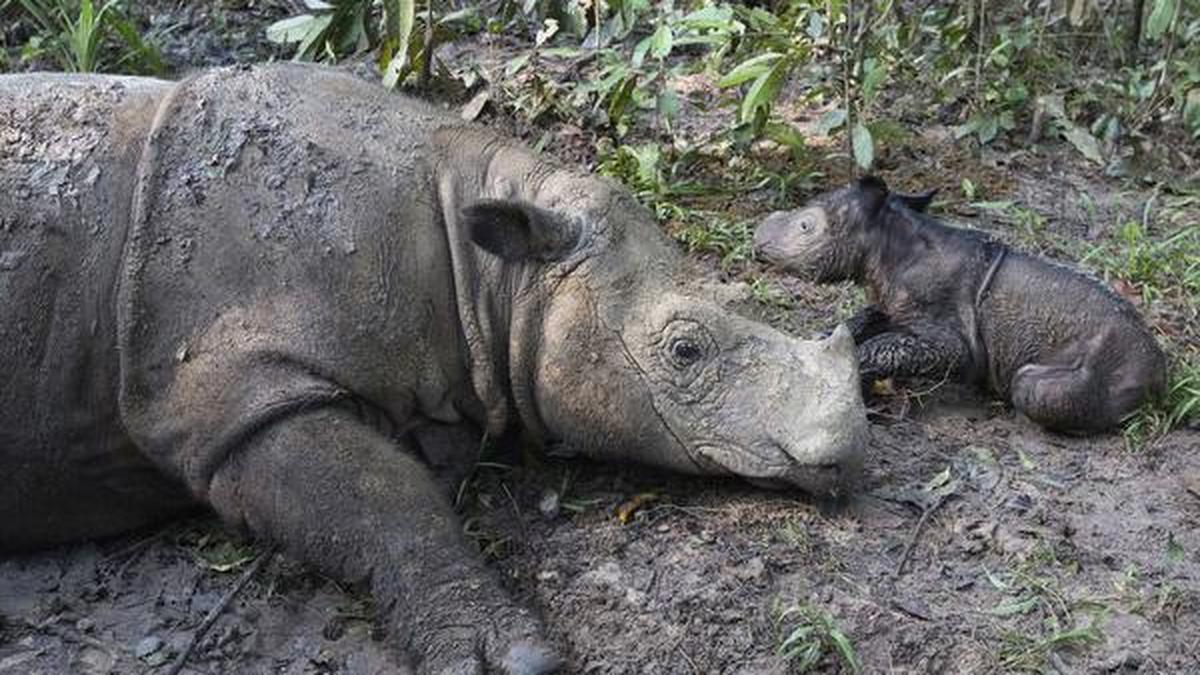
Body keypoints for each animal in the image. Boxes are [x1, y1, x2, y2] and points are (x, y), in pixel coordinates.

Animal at [0, 64, 868, 674]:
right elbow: (384, 499)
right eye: (685, 351)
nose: (847, 444)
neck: (487, 269)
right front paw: (512, 654)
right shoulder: (232, 399)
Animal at [753, 176, 1167, 433]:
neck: (885, 242)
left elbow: (885, 346)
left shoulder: (954, 343)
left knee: (1029, 386)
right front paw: (822, 342)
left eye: (805, 227)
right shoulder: (894, 304)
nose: (757, 240)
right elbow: (866, 321)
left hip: (1106, 363)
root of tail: (1161, 370)